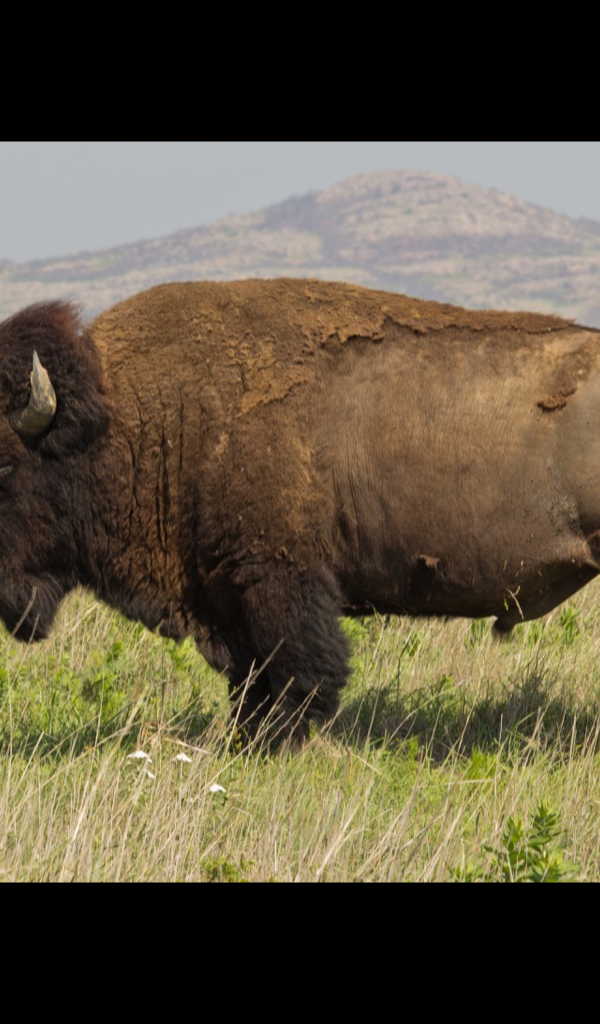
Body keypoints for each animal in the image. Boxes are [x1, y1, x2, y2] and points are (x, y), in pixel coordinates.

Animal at [1, 278, 599, 743]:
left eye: (5, 468)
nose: (6, 601)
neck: (137, 417)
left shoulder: (281, 580)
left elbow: (300, 676)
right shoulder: (227, 599)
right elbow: (250, 685)